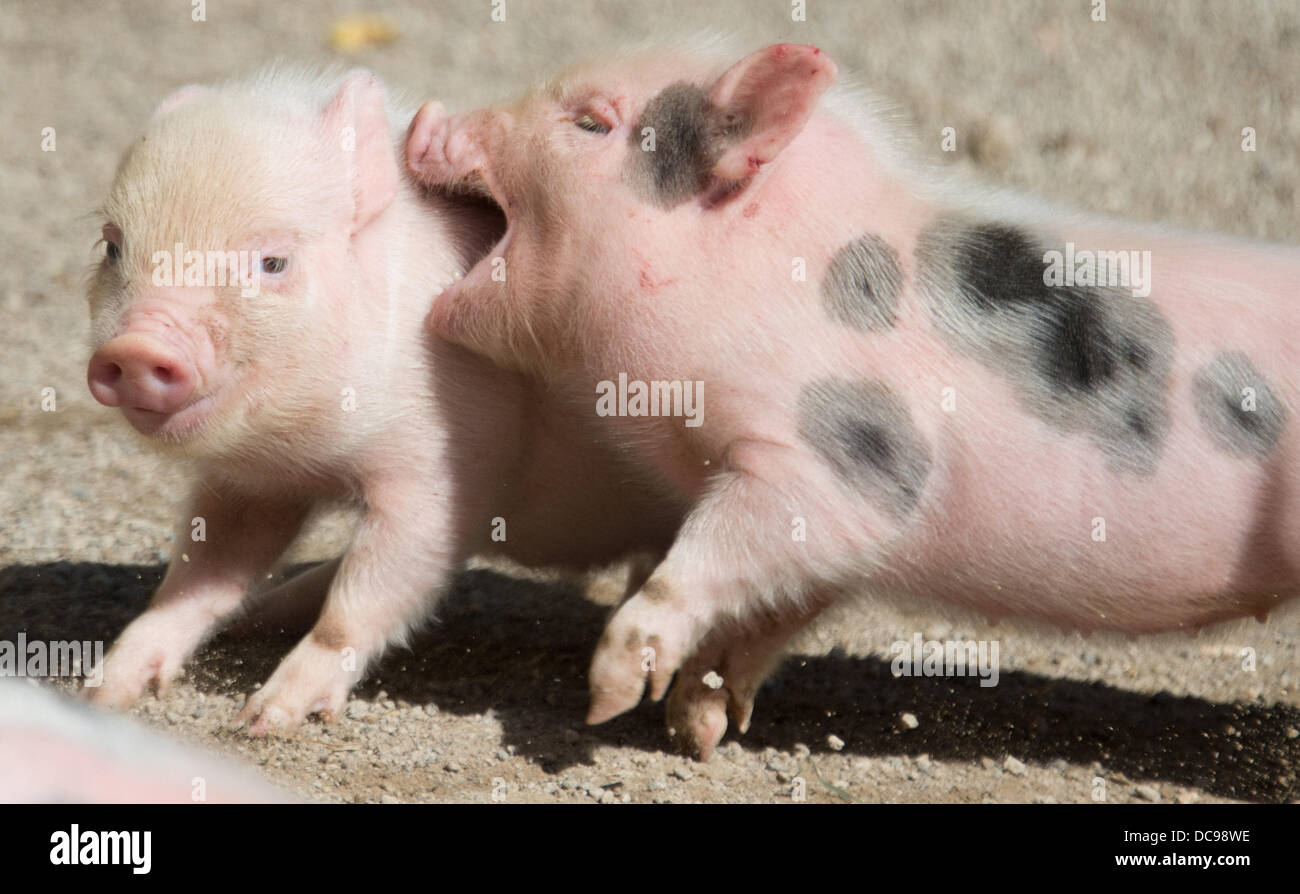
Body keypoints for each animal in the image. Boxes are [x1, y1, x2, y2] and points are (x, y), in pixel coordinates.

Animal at [84, 65, 681, 735]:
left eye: (273, 262)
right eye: (112, 247)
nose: (137, 347)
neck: (312, 447)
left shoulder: (446, 467)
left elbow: (377, 586)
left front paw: (263, 719)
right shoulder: (252, 483)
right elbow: (198, 574)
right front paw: (100, 694)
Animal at [405, 42, 1300, 759]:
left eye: (591, 121)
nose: (423, 114)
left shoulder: (849, 461)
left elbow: (702, 562)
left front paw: (608, 699)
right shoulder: (831, 530)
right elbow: (770, 610)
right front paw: (699, 729)